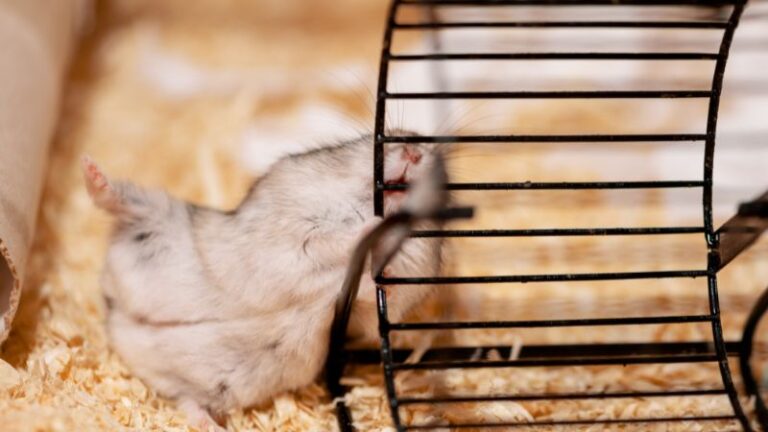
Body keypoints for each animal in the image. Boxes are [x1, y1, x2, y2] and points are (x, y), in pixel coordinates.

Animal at [82, 134, 445, 430]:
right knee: (121, 202)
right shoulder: (294, 238)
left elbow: (373, 295)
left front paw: (386, 272)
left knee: (187, 401)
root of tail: (116, 318)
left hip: (205, 386)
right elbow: (331, 241)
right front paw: (376, 225)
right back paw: (91, 171)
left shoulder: (359, 315)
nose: (415, 151)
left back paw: (210, 426)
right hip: (157, 215)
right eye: (365, 141)